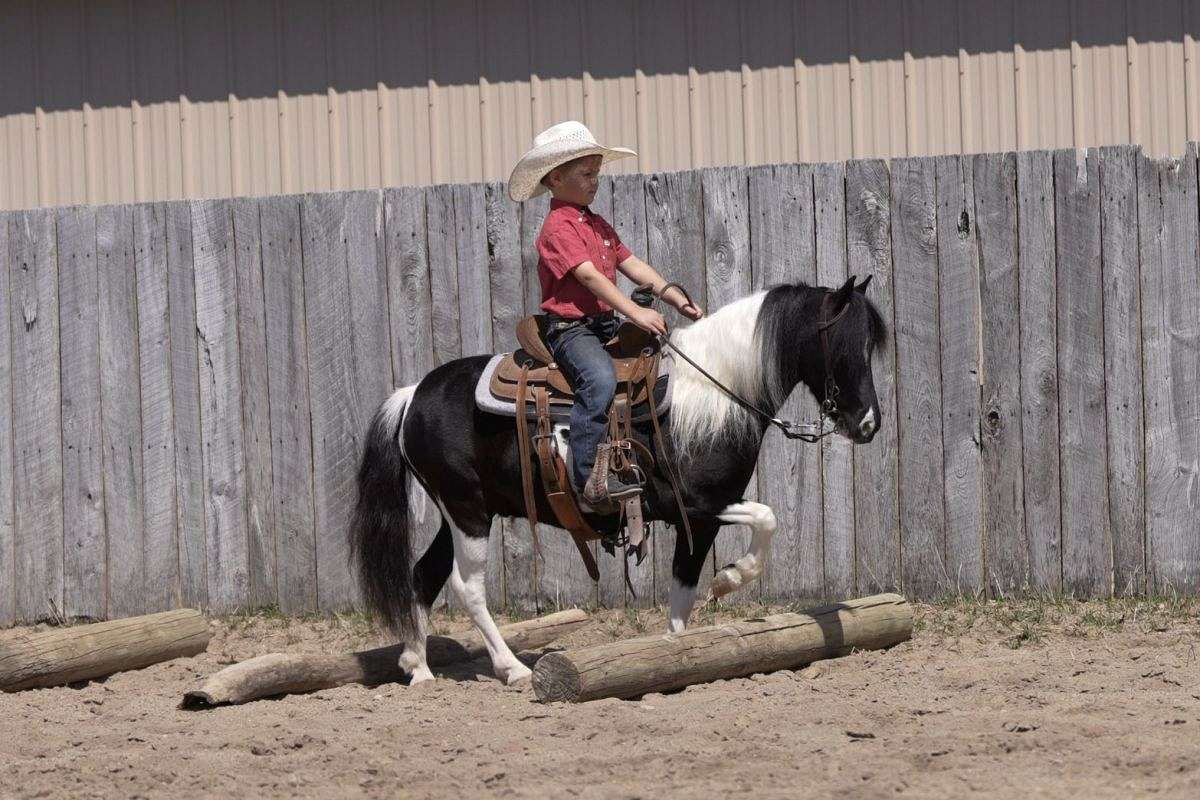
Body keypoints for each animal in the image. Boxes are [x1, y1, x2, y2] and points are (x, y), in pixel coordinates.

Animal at [349, 275, 887, 685]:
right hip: (468, 514)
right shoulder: (694, 505)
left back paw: (419, 668)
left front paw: (677, 653)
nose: (868, 425)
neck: (713, 394)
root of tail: (413, 394)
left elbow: (683, 591)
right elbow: (767, 518)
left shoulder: (701, 521)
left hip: (456, 513)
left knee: (424, 575)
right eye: (844, 348)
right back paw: (511, 668)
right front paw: (729, 579)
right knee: (467, 586)